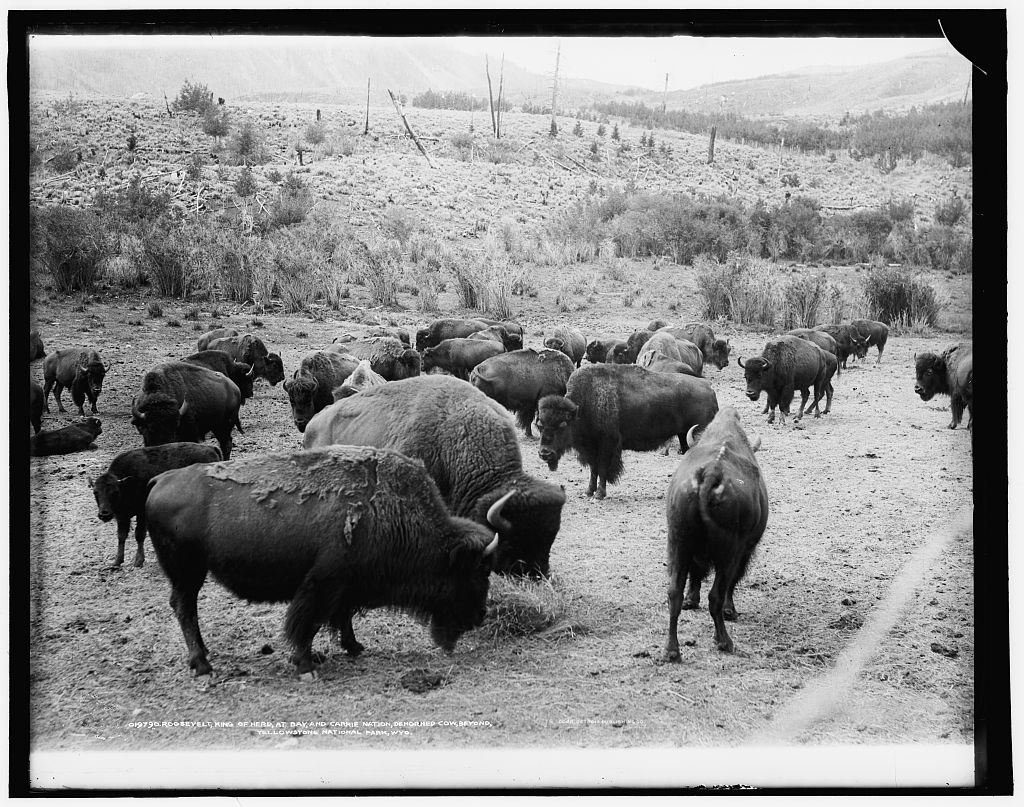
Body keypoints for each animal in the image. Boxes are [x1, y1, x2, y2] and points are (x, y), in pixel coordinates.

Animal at [89, 443, 222, 567]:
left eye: (115, 492)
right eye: (95, 492)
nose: (104, 514)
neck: (126, 483)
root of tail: (211, 448)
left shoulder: (141, 513)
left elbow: (139, 535)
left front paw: (138, 561)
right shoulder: (122, 516)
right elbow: (121, 536)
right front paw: (117, 561)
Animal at [145, 445, 509, 680]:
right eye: (478, 572)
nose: (480, 616)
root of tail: (160, 480)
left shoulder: (344, 585)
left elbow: (341, 617)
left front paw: (354, 646)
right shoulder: (322, 584)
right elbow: (308, 623)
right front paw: (306, 665)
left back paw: (204, 659)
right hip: (188, 572)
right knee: (185, 607)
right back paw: (202, 665)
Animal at [536, 364, 720, 500]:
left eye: (562, 425)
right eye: (540, 425)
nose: (544, 453)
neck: (583, 407)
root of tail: (709, 388)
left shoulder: (607, 444)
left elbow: (602, 468)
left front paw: (599, 494)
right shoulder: (591, 448)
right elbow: (593, 469)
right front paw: (589, 491)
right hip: (684, 436)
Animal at [664, 407, 768, 658]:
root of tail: (712, 472)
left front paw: (692, 600)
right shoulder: (743, 552)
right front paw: (731, 612)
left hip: (678, 544)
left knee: (674, 593)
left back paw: (672, 651)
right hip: (729, 554)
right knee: (716, 595)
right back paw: (724, 641)